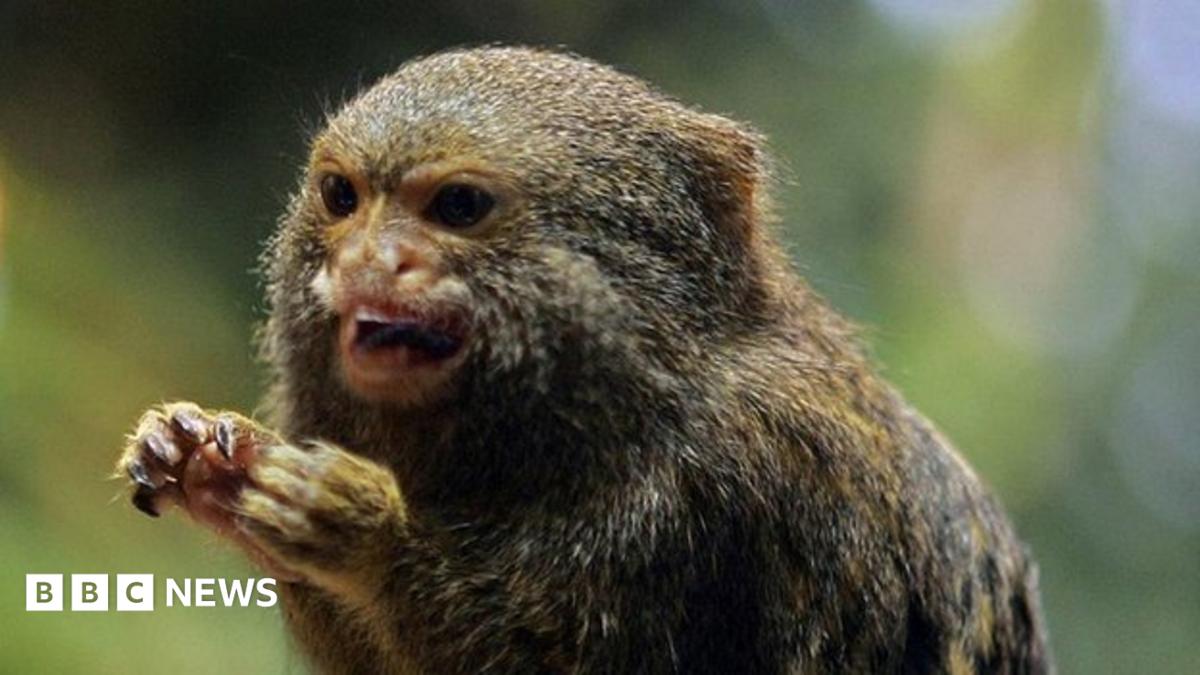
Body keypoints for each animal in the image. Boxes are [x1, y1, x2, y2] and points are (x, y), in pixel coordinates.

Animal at [117, 46, 1052, 674]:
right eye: (343, 199)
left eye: (458, 207)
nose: (367, 262)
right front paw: (208, 458)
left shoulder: (768, 470)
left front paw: (363, 529)